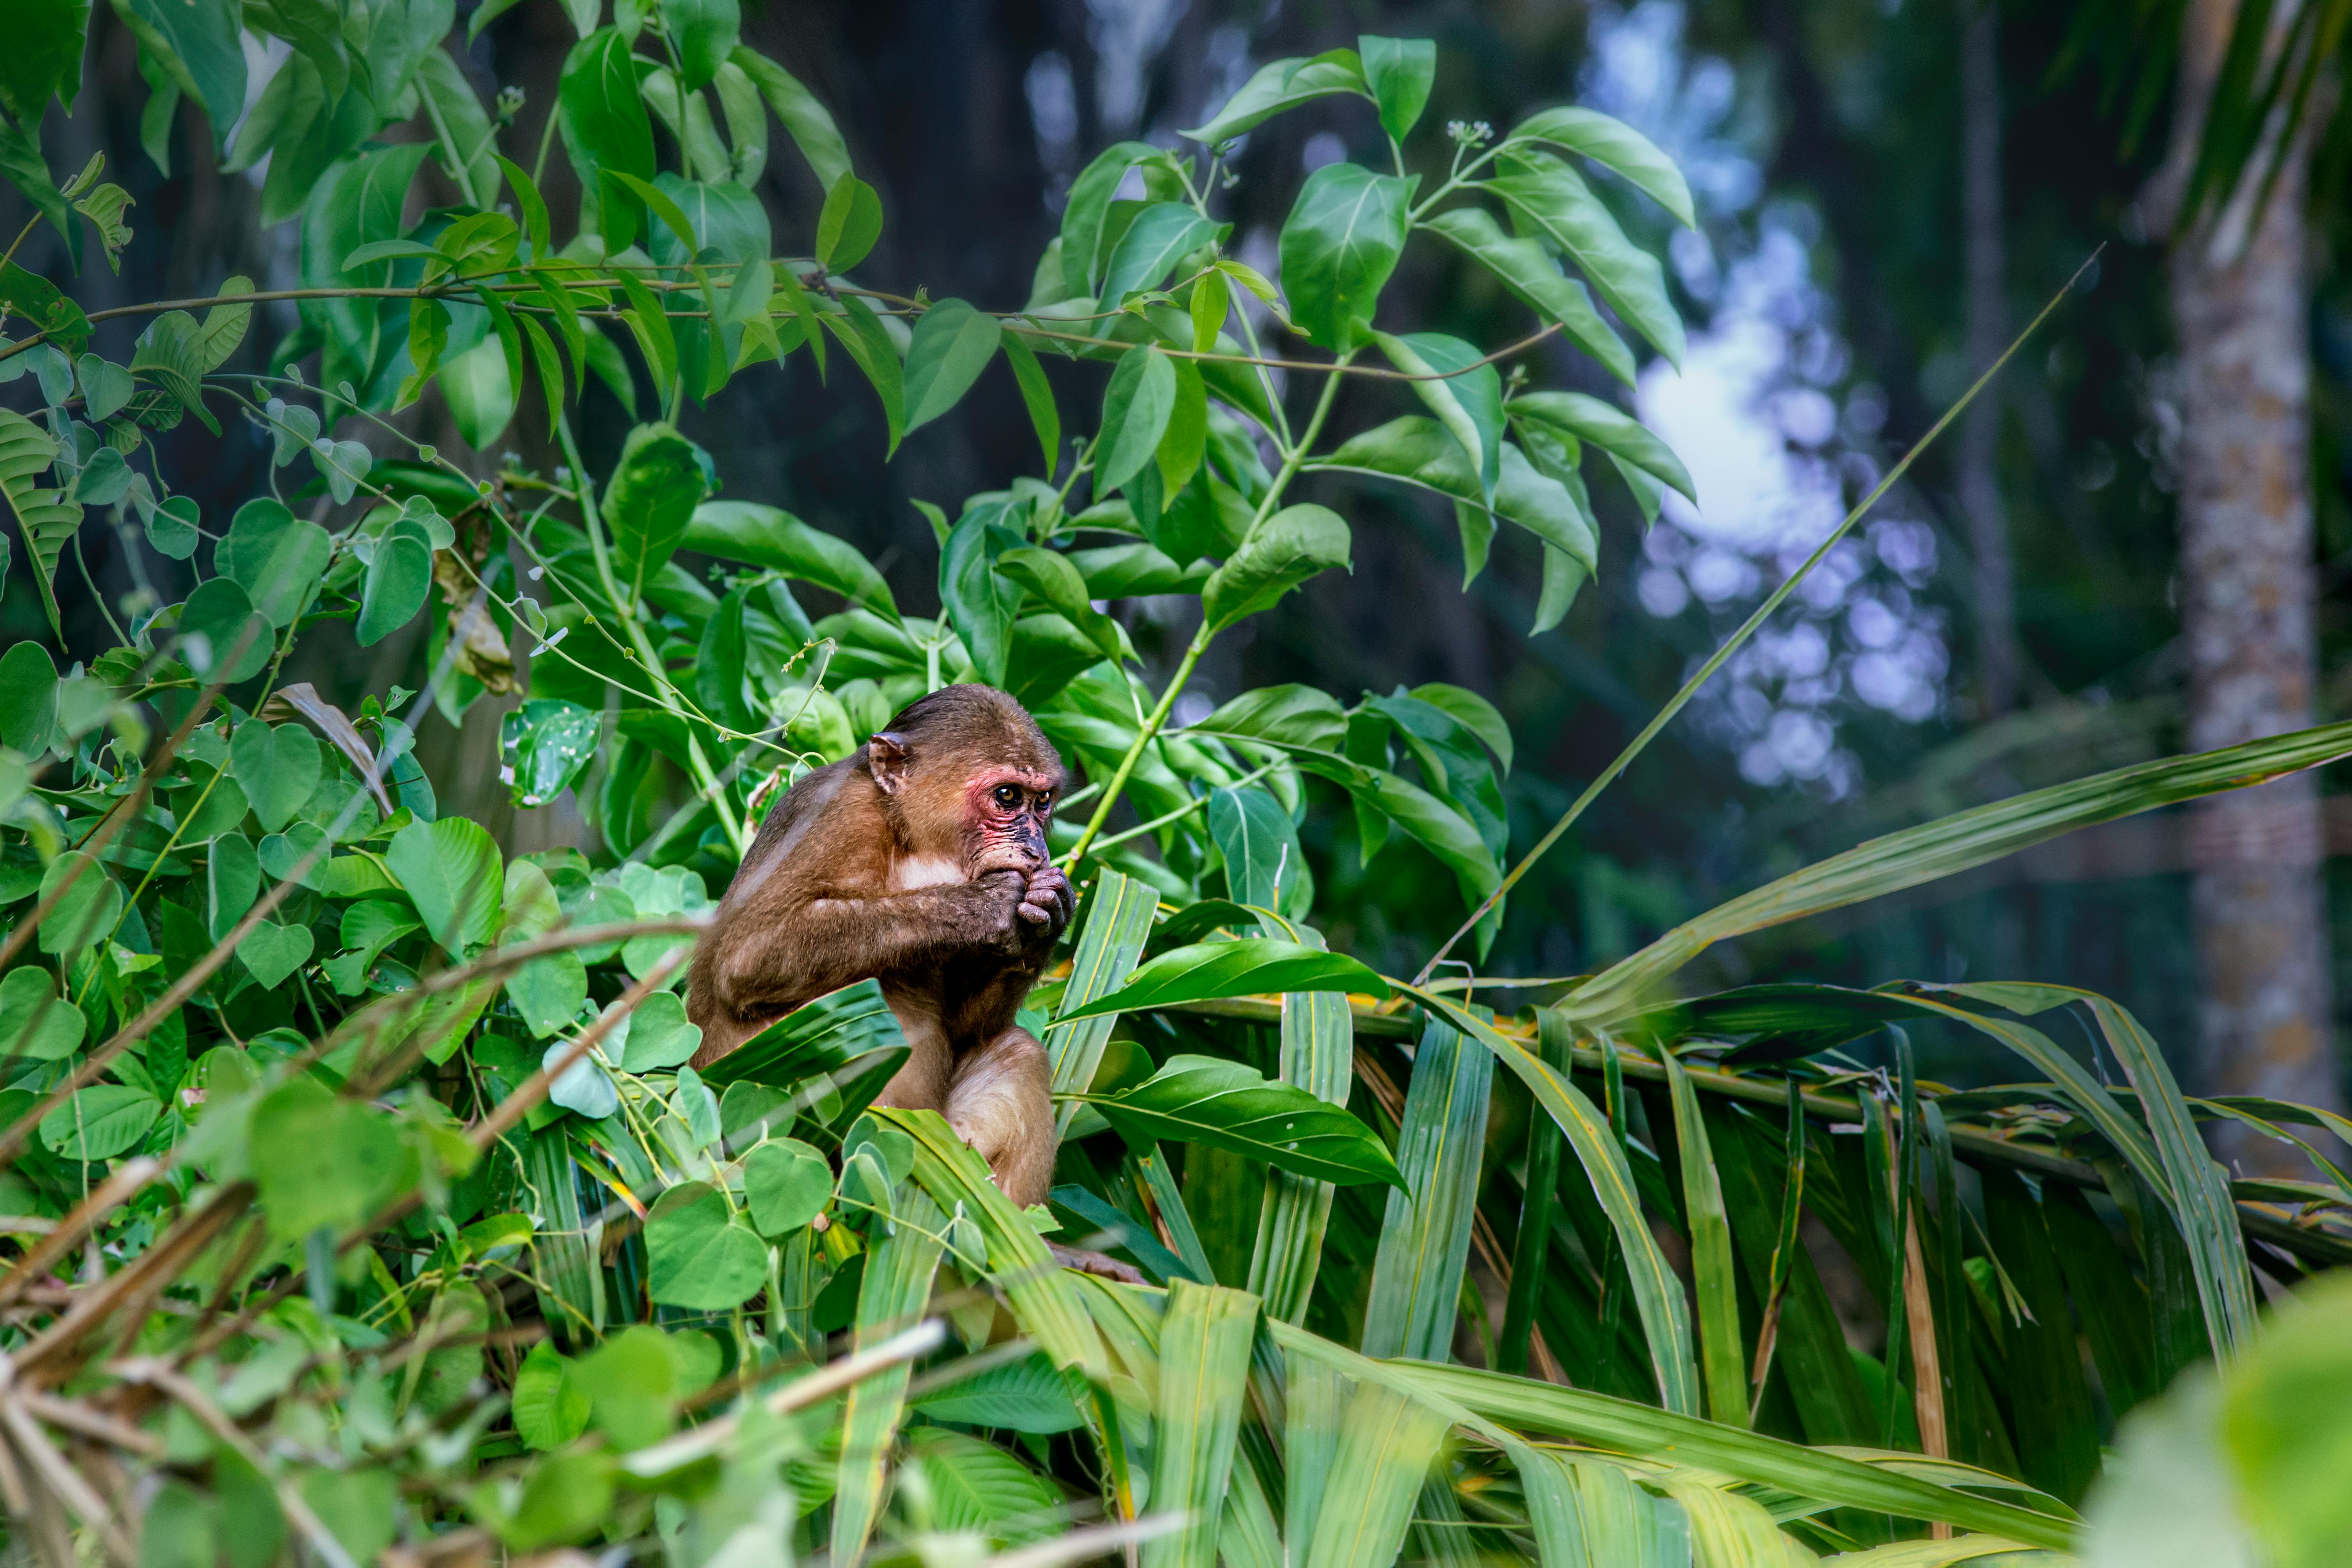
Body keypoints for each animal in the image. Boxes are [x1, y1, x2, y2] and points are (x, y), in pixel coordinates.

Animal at [687, 684, 1078, 1210]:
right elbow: (749, 955)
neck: (910, 838)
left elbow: (966, 1029)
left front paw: (1047, 915)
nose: (1036, 847)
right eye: (1007, 796)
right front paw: (985, 905)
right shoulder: (835, 816)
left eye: (1043, 802)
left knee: (1019, 1055)